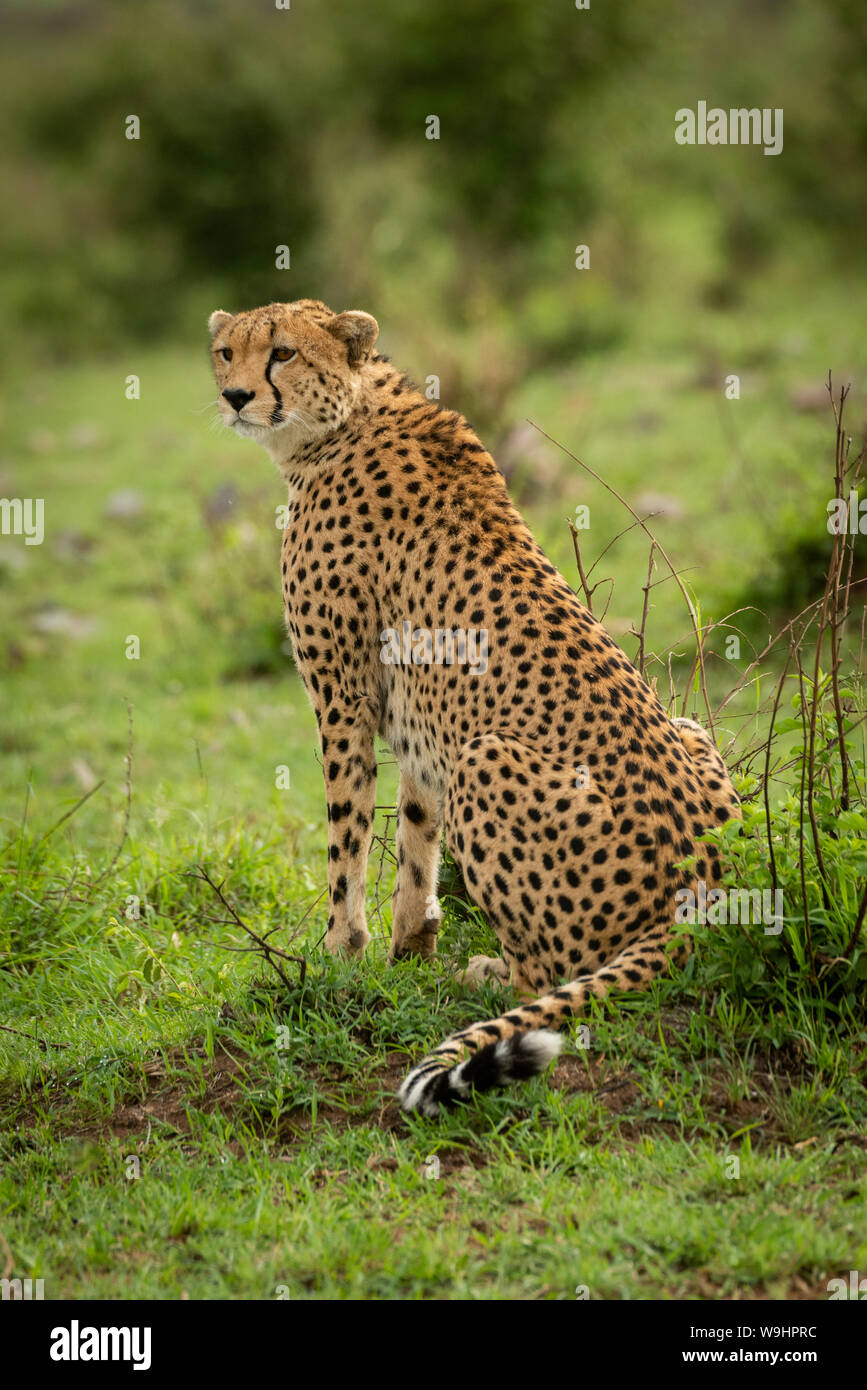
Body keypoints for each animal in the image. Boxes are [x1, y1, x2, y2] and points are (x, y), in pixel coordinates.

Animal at [208, 297, 741, 1117]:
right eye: (225, 352)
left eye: (283, 353)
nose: (236, 397)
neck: (344, 417)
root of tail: (700, 890)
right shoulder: (418, 716)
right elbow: (414, 833)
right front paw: (409, 947)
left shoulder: (342, 698)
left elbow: (345, 841)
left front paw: (338, 956)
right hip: (682, 730)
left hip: (485, 755)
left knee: (547, 973)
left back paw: (486, 974)